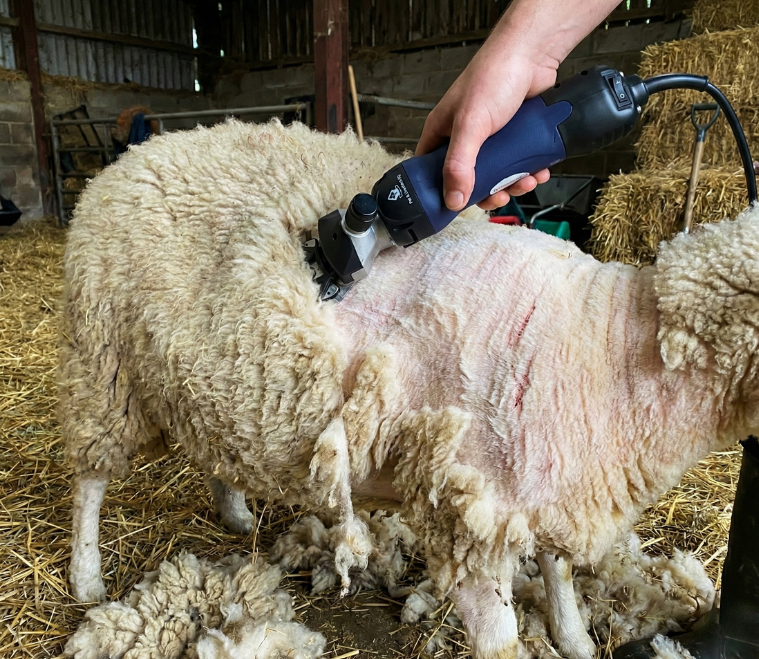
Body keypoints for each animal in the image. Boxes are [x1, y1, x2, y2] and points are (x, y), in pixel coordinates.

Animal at [62, 118, 759, 659]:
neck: (603, 340)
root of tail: (131, 158)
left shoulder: (547, 489)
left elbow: (559, 575)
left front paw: (576, 640)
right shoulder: (467, 513)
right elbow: (500, 639)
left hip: (216, 378)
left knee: (215, 443)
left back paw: (233, 512)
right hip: (105, 368)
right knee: (90, 480)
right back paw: (87, 576)